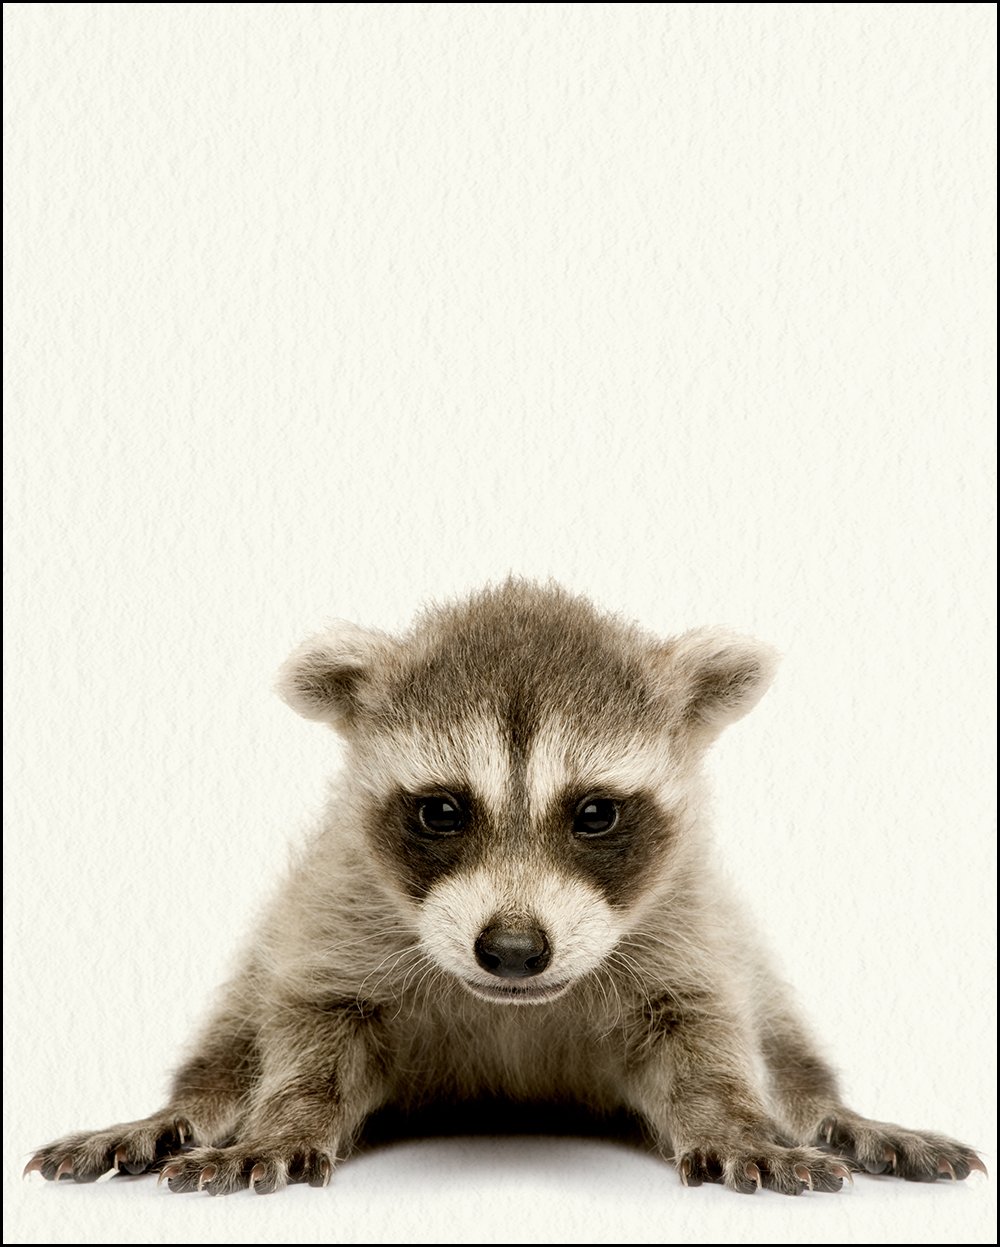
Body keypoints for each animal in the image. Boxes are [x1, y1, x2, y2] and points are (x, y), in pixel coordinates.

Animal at [26, 581, 985, 1195]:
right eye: (443, 810)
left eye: (595, 811)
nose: (515, 950)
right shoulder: (338, 902)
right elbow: (311, 1025)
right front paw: (285, 1119)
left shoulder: (686, 917)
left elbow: (703, 1031)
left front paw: (735, 1120)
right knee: (232, 1035)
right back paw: (186, 1108)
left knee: (784, 1044)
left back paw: (831, 1111)